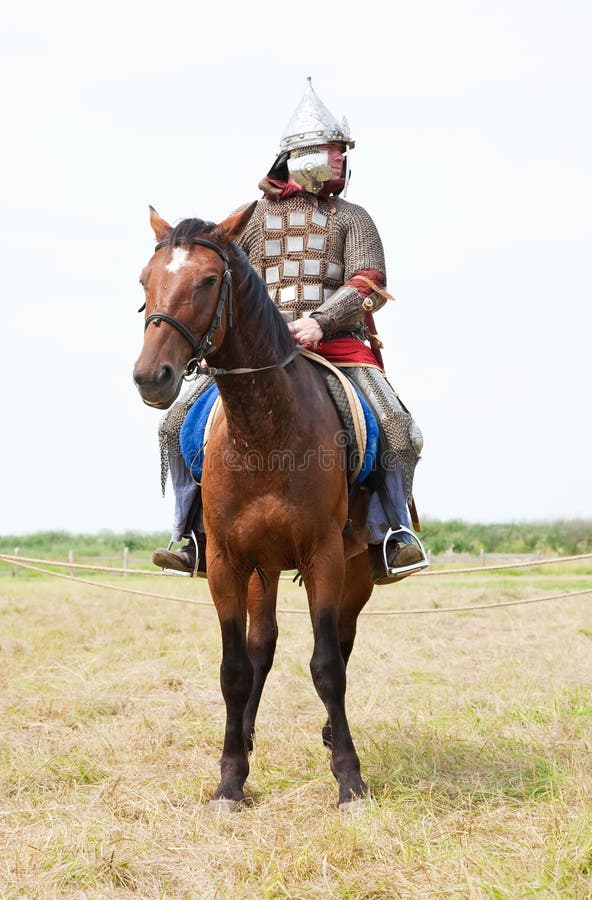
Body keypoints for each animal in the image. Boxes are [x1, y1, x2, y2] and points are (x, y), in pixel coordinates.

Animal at [133, 204, 374, 811]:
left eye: (207, 280)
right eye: (145, 281)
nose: (151, 376)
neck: (264, 429)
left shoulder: (324, 558)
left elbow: (327, 666)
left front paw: (349, 778)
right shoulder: (227, 562)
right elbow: (235, 668)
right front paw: (230, 779)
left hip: (357, 569)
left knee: (341, 640)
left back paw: (331, 734)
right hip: (264, 569)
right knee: (262, 647)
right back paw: (243, 734)